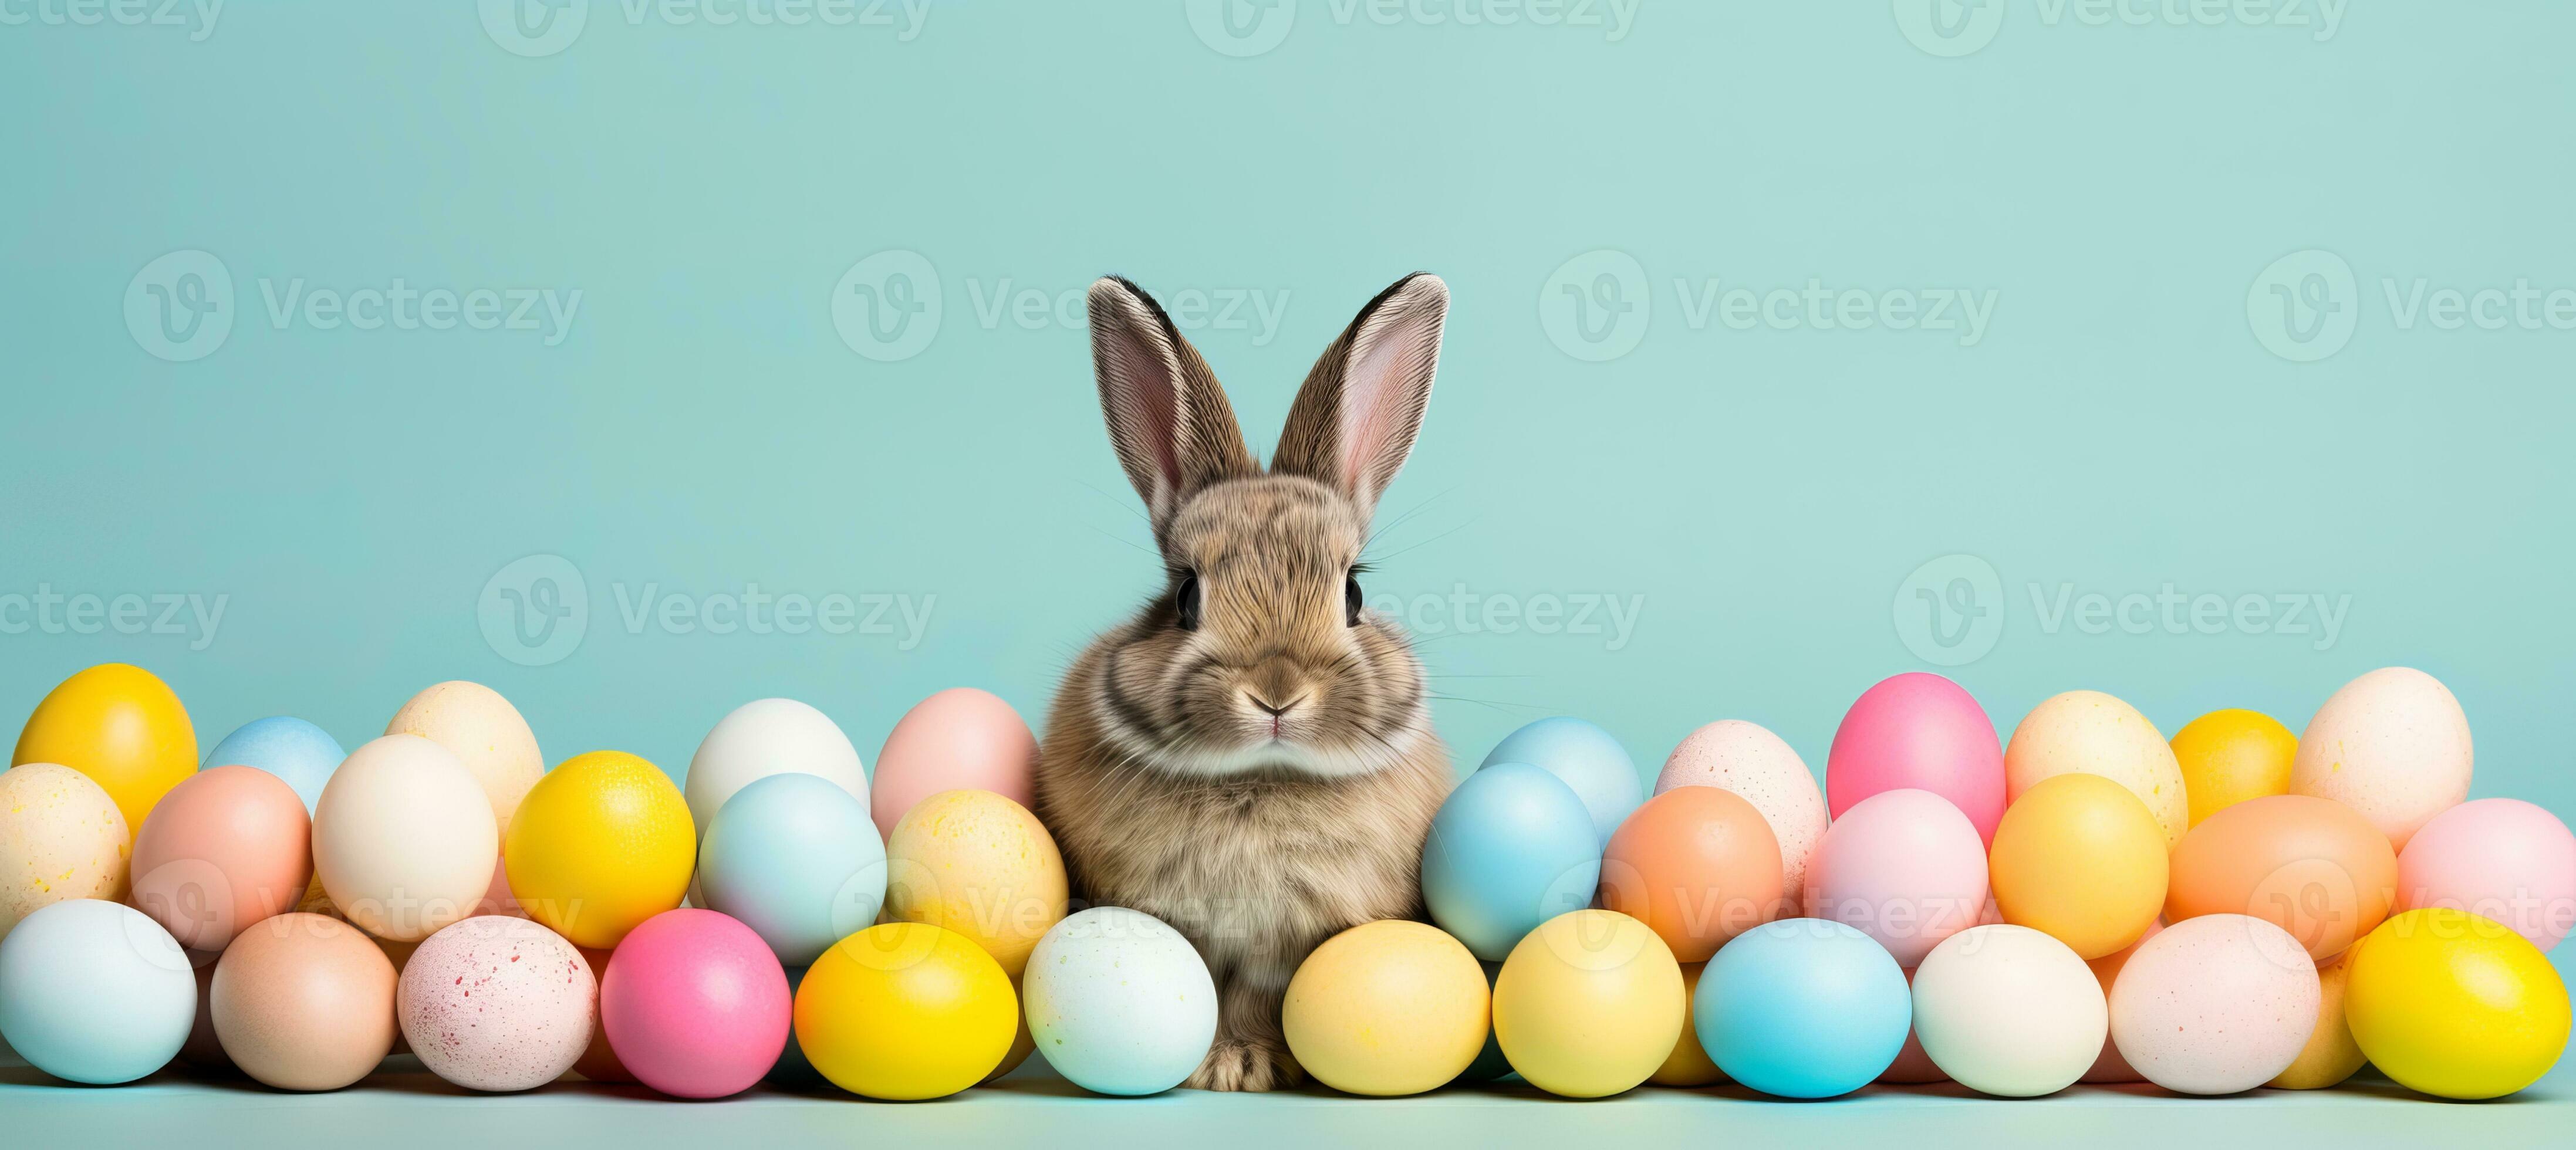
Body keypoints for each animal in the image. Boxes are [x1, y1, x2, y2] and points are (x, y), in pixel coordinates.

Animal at [1036, 272, 1457, 1092]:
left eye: (1353, 594)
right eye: (1185, 596)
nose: (1276, 693)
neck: (1258, 778)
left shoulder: (1289, 942)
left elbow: (1256, 996)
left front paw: (1245, 1062)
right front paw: (1217, 1065)